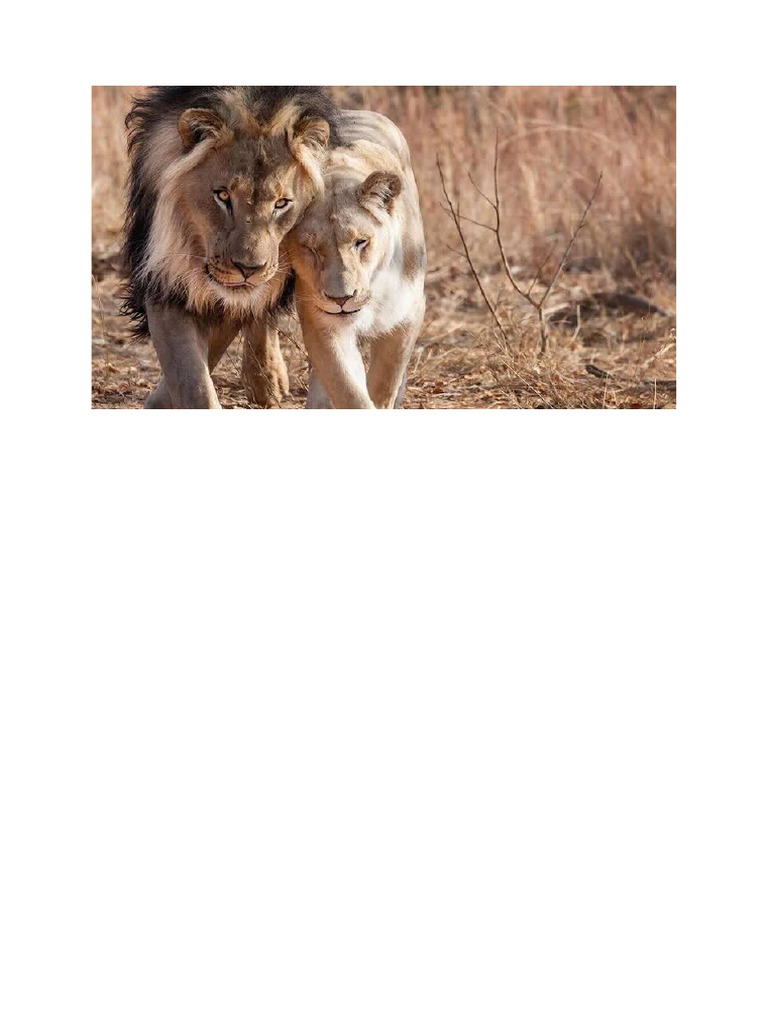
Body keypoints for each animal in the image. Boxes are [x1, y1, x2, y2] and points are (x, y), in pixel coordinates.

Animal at [121, 86, 339, 408]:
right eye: (222, 196)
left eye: (281, 203)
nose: (249, 269)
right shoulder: (163, 276)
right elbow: (190, 375)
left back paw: (266, 380)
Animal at [286, 110, 427, 409]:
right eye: (311, 249)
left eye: (360, 242)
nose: (341, 299)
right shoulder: (321, 321)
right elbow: (347, 388)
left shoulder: (408, 314)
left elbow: (385, 382)